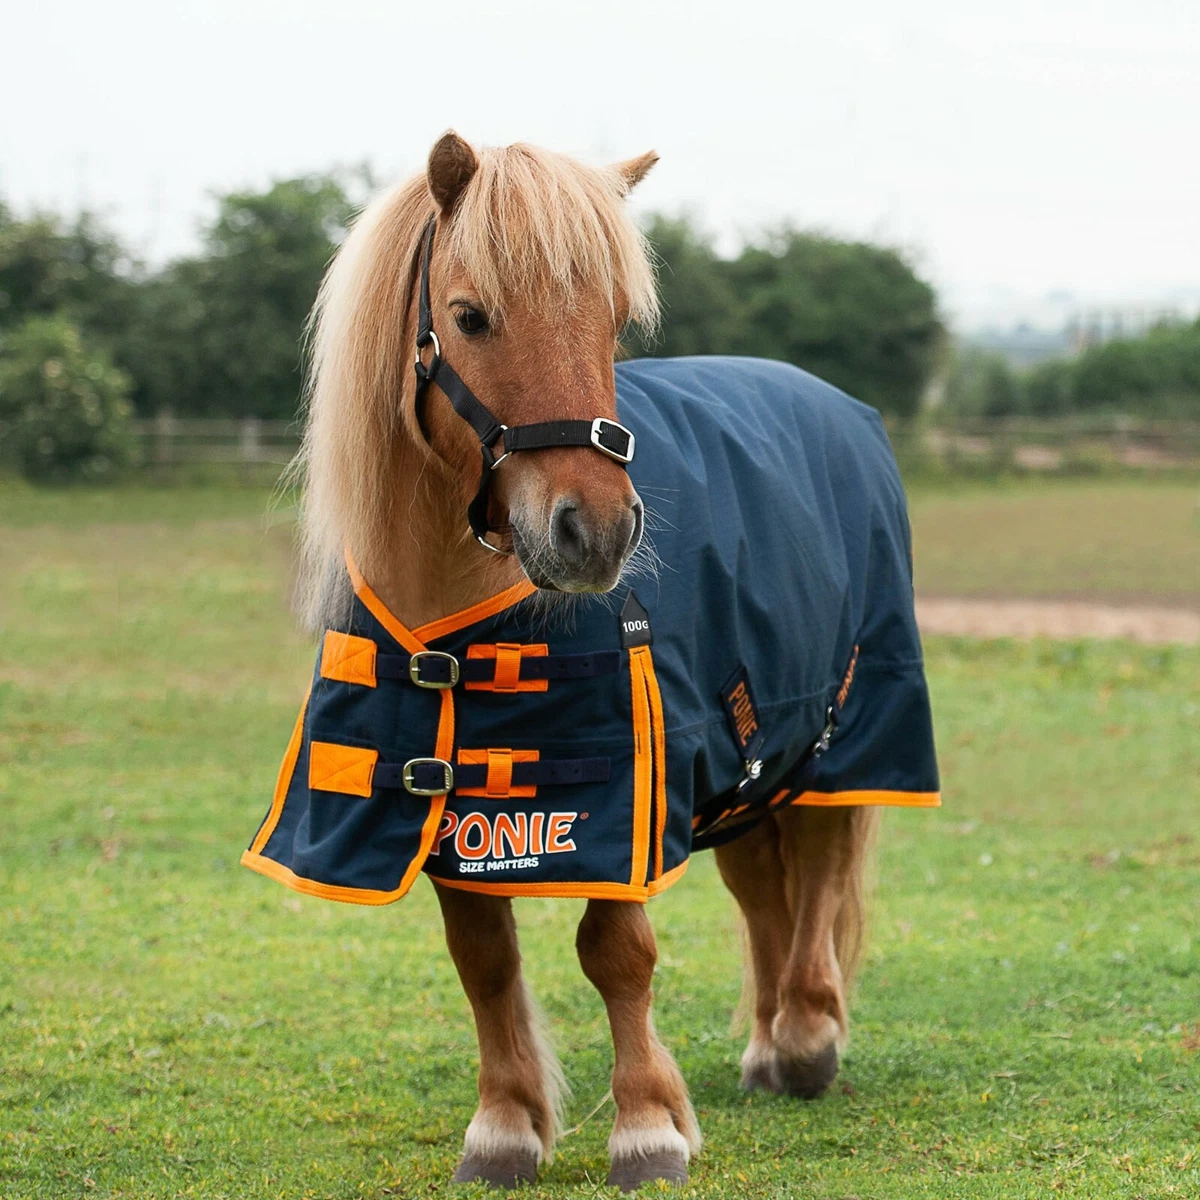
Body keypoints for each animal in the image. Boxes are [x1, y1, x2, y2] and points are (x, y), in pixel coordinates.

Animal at [243, 132, 939, 1191]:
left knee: (819, 863)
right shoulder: (453, 801)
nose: (597, 531)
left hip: (841, 726)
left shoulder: (626, 788)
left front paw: (648, 1127)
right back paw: (769, 1042)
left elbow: (615, 948)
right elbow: (483, 957)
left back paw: (808, 1038)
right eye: (469, 316)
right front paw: (504, 1127)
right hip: (746, 763)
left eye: (613, 324)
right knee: (761, 885)